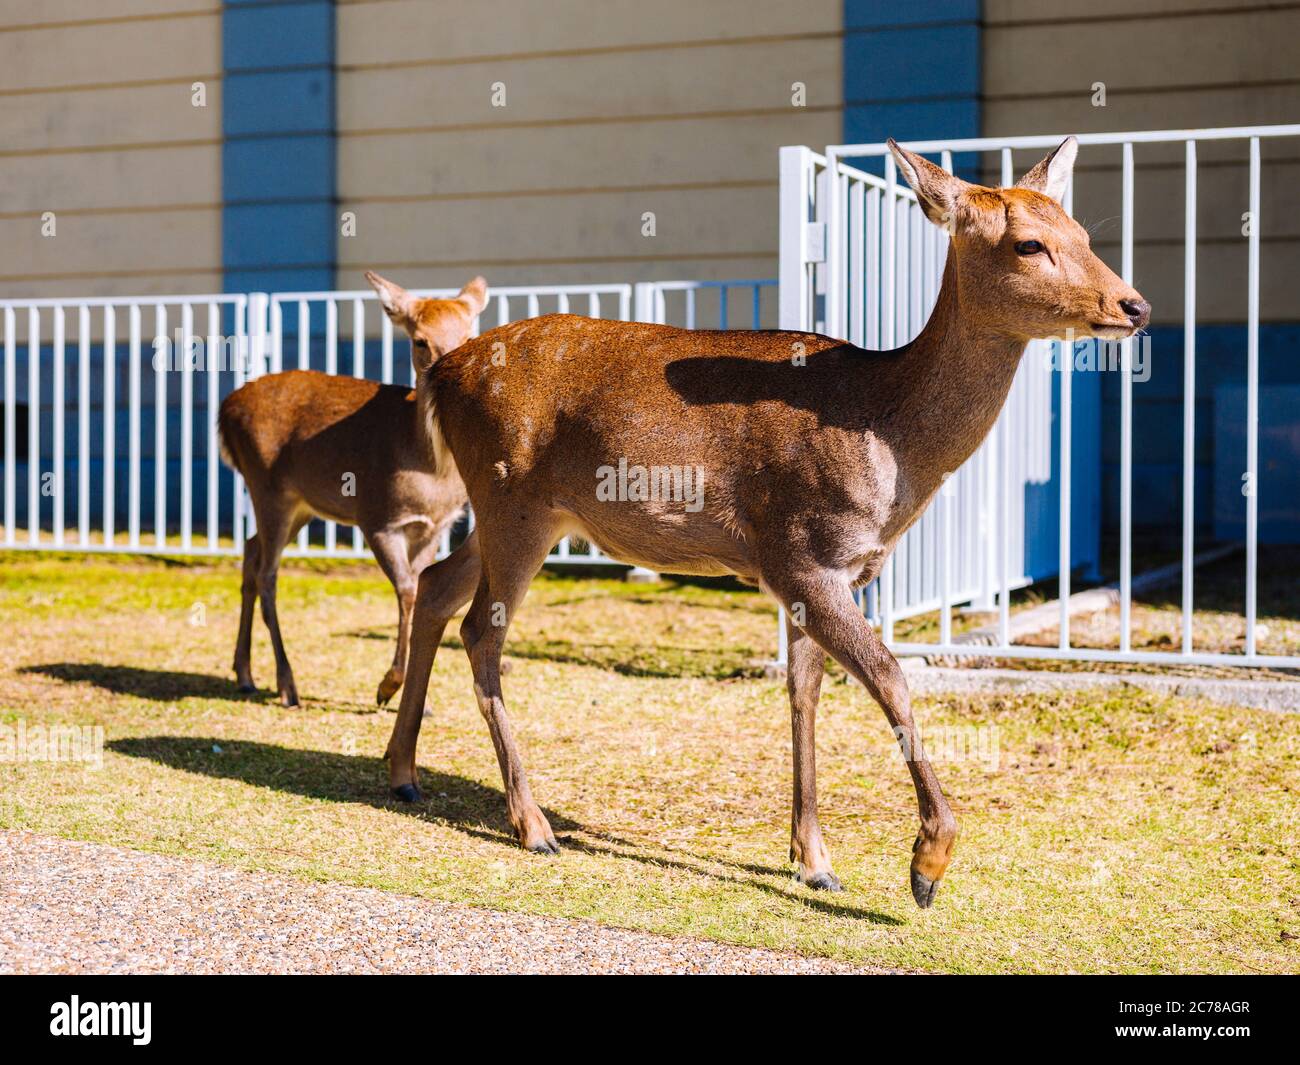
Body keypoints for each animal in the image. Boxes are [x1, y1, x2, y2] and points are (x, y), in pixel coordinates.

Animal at [216, 276, 488, 709]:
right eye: (420, 340)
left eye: (468, 335)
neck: (431, 473)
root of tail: (224, 412)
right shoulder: (377, 519)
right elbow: (407, 591)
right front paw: (388, 686)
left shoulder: (435, 527)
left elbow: (419, 588)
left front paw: (419, 701)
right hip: (266, 486)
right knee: (267, 572)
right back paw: (286, 684)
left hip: (300, 505)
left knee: (250, 548)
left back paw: (244, 674)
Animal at [374, 136, 1150, 909]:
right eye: (1029, 244)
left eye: (1083, 233)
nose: (1133, 305)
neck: (891, 441)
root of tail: (442, 375)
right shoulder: (800, 551)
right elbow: (890, 676)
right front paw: (927, 864)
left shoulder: (829, 570)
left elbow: (805, 691)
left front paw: (814, 859)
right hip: (513, 498)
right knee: (481, 632)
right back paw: (532, 822)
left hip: (517, 510)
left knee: (437, 584)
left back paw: (402, 769)